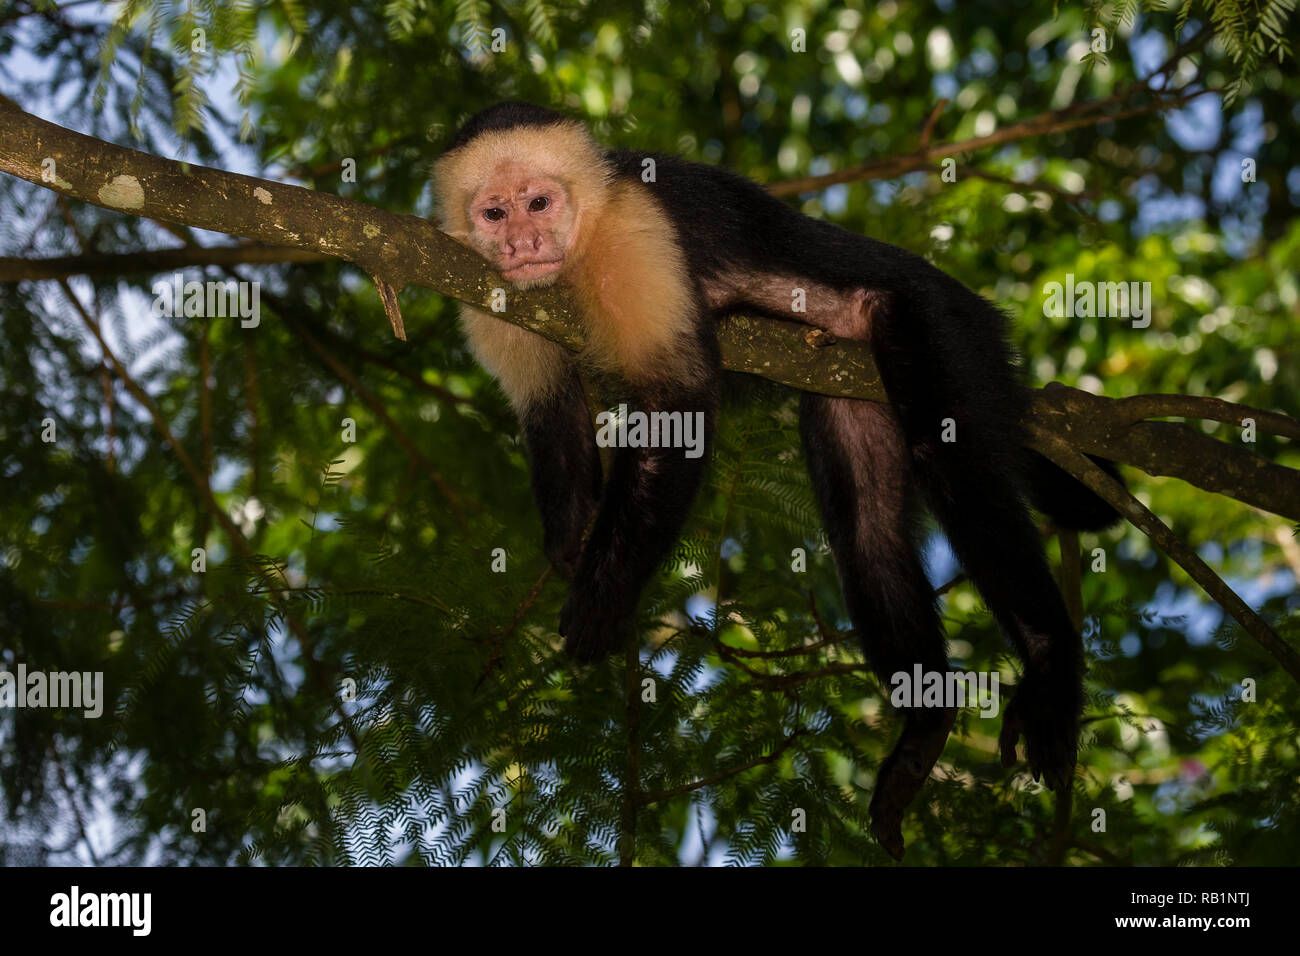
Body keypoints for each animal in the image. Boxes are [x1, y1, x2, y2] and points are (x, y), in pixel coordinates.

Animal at [433, 101, 1120, 859]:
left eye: (539, 203)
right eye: (494, 213)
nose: (523, 242)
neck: (577, 248)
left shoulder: (632, 230)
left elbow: (678, 402)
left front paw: (604, 590)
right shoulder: (481, 279)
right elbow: (552, 409)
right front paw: (568, 541)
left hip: (944, 326)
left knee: (955, 467)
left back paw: (1050, 661)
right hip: (855, 379)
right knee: (867, 531)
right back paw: (925, 722)